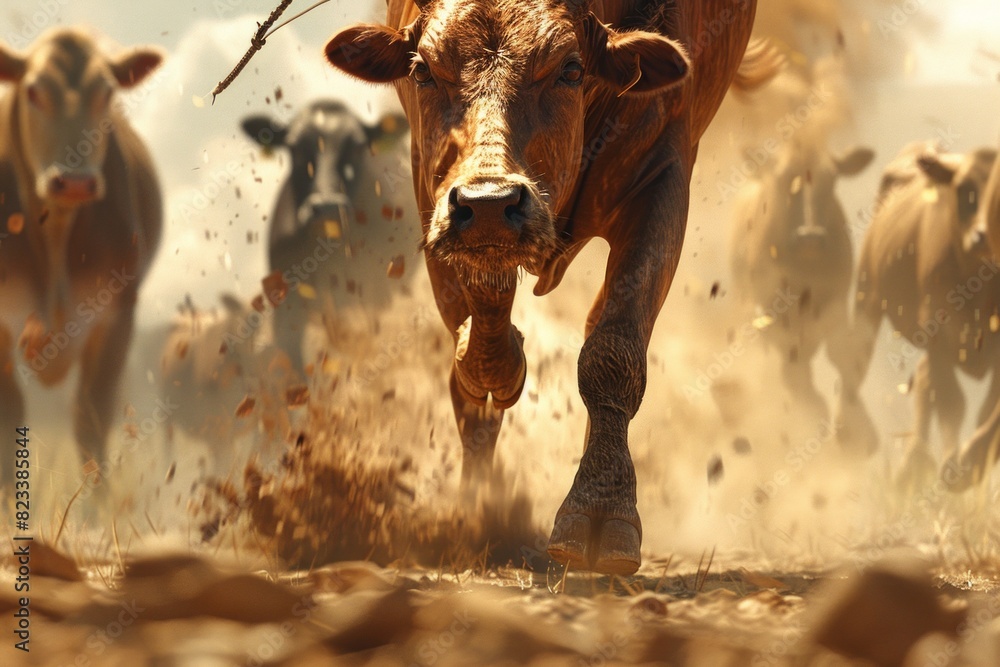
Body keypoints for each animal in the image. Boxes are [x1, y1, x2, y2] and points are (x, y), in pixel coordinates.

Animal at [324, 0, 772, 573]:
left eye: (571, 69)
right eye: (423, 70)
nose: (489, 203)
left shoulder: (665, 169)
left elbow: (613, 351)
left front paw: (601, 511)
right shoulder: (432, 185)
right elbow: (481, 348)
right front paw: (491, 363)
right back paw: (476, 517)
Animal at [729, 137, 874, 426]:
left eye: (832, 180)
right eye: (781, 180)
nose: (811, 236)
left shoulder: (836, 301)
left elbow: (841, 352)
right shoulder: (768, 308)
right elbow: (790, 362)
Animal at [836, 141, 1000, 488]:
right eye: (964, 189)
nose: (983, 236)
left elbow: (987, 409)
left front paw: (971, 462)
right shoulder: (938, 327)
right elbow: (952, 401)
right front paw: (954, 464)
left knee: (924, 379)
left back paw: (915, 461)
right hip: (868, 295)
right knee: (855, 359)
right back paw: (855, 436)